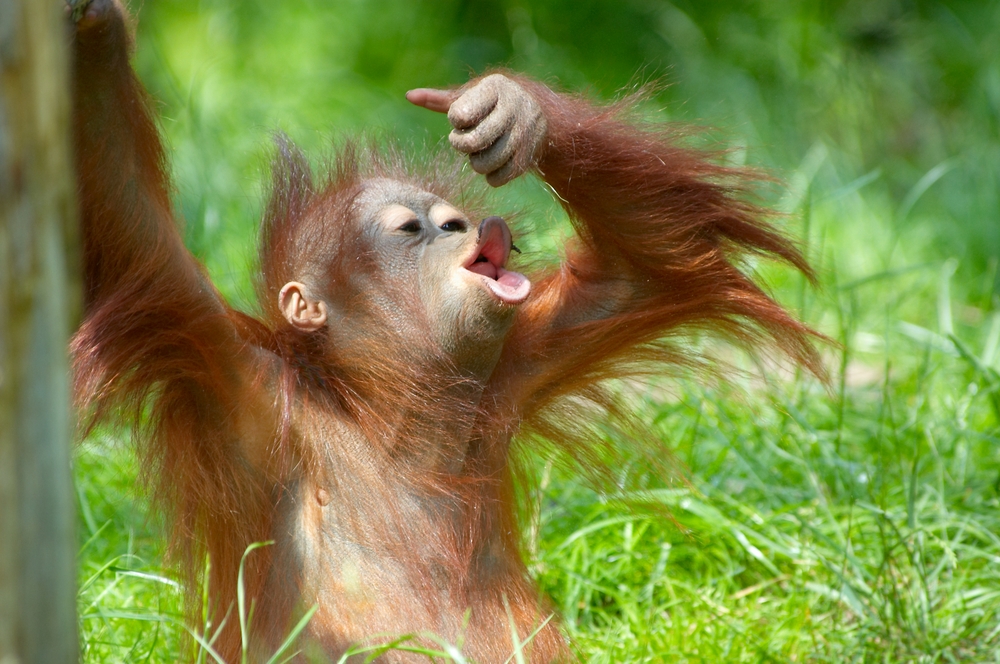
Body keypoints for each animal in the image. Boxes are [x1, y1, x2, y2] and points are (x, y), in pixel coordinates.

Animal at [68, 0, 821, 661]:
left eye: (449, 218)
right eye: (411, 229)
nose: (462, 228)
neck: (383, 405)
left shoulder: (522, 359)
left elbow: (646, 269)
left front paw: (512, 110)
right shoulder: (229, 371)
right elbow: (137, 233)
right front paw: (92, 26)